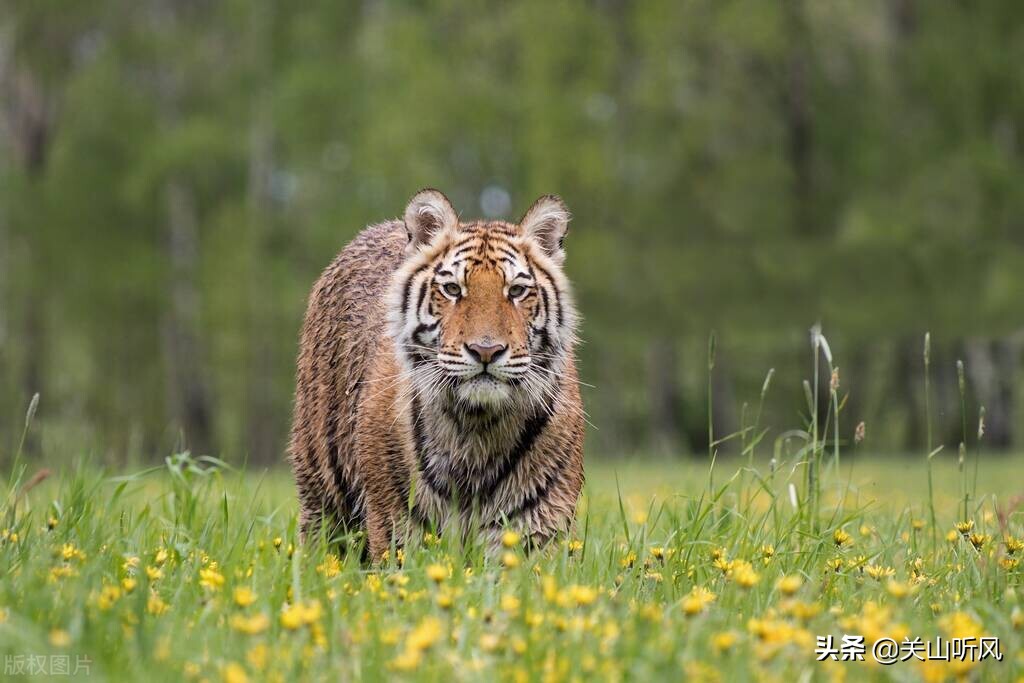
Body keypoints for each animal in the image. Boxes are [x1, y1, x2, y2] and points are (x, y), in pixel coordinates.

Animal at [288, 189, 585, 559]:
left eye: (517, 291)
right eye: (453, 289)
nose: (486, 350)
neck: (476, 428)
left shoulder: (535, 527)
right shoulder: (399, 528)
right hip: (322, 493)